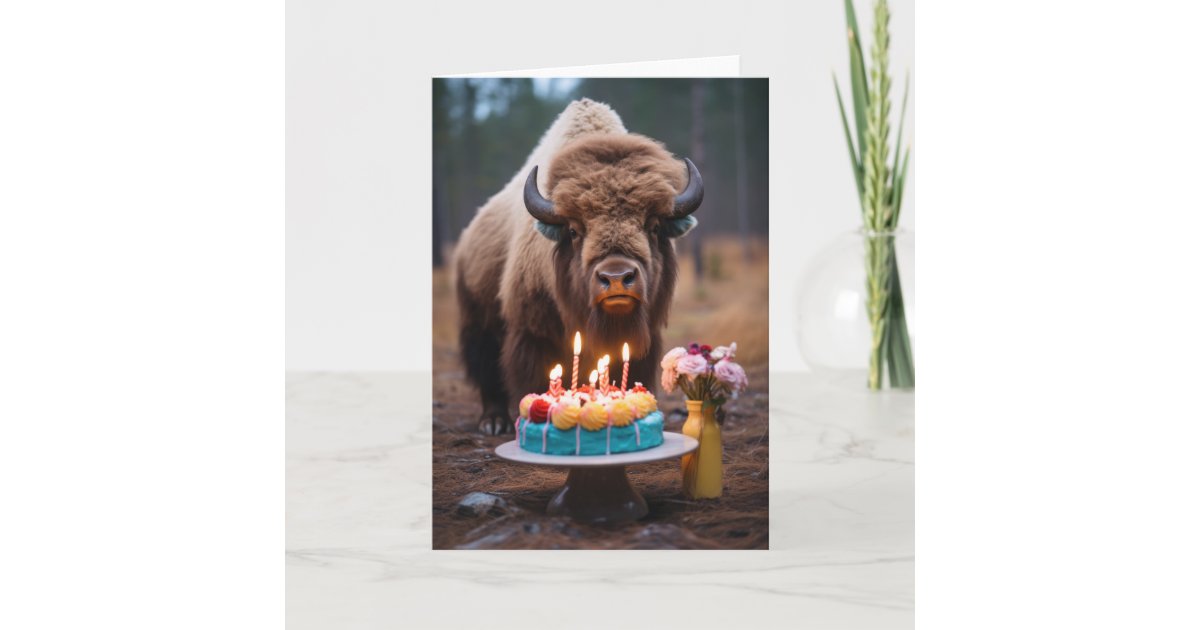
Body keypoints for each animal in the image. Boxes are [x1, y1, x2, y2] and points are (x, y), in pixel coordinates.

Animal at [454, 99, 703, 434]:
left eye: (653, 226)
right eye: (573, 230)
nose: (616, 278)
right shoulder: (531, 333)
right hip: (480, 323)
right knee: (487, 374)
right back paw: (493, 423)